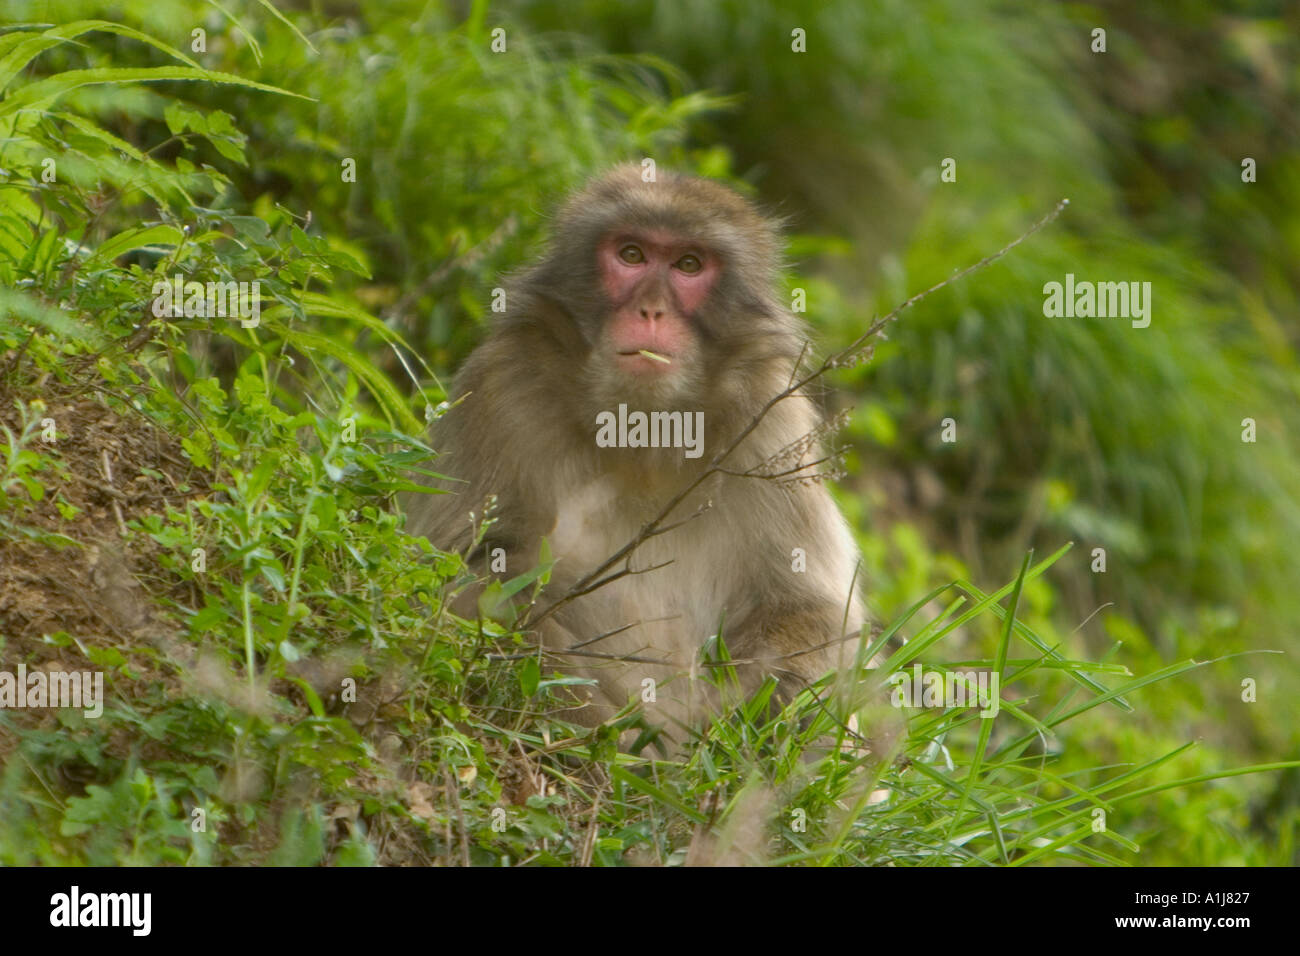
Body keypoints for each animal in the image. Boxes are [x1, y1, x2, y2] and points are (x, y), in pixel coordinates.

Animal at [404, 164, 868, 732]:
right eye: (631, 255)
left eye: (689, 265)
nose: (651, 309)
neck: (643, 430)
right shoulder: (502, 388)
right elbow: (459, 571)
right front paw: (602, 722)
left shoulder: (773, 422)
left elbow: (811, 609)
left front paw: (735, 728)